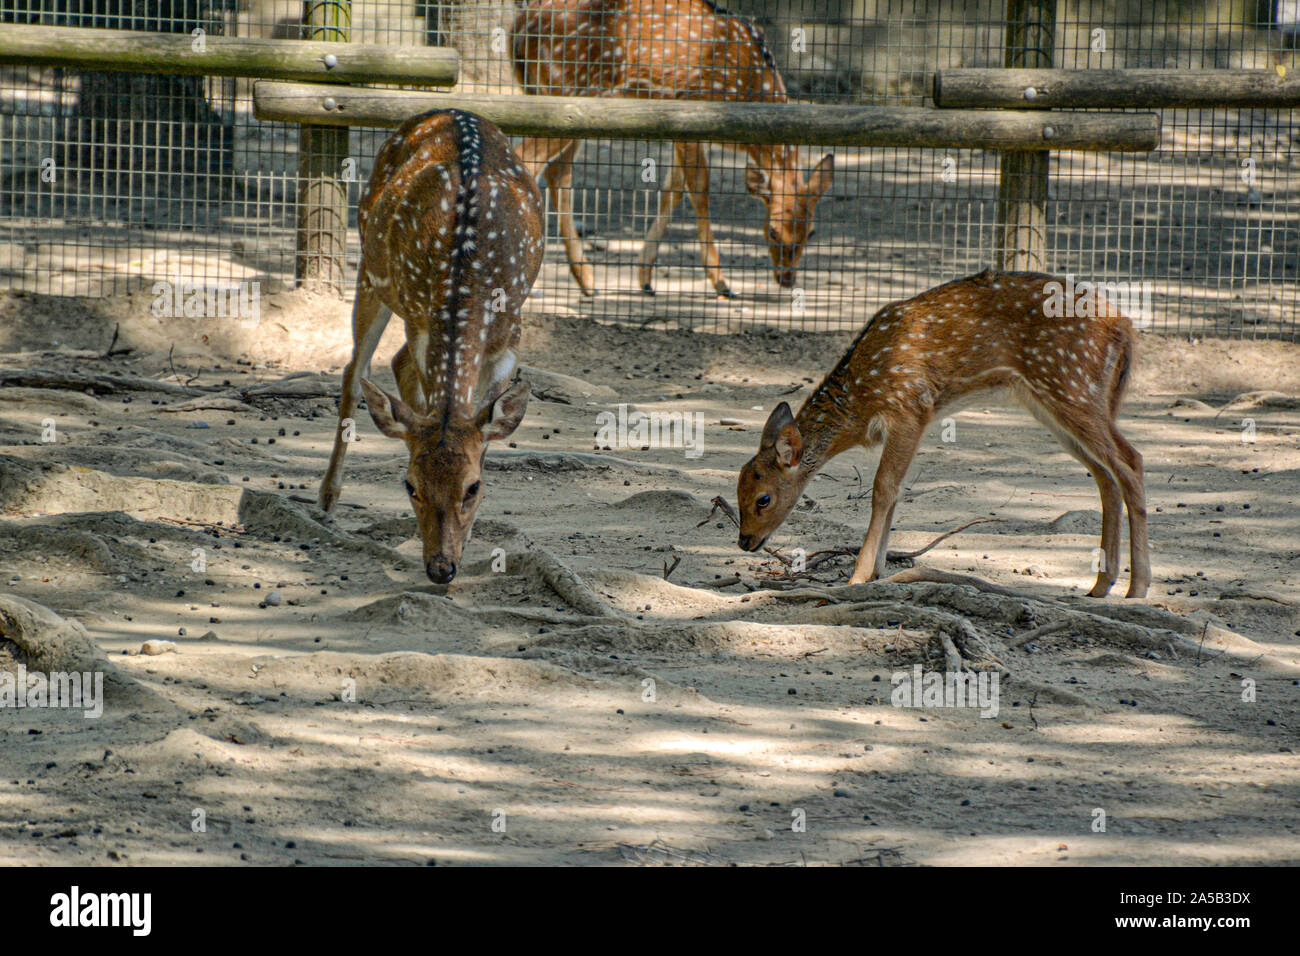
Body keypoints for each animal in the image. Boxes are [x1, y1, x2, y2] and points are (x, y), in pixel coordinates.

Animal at [318, 109, 545, 585]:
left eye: (473, 487)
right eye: (410, 485)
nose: (441, 568)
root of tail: (450, 111)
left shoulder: (509, 339)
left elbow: (482, 425)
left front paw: (471, 532)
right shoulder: (421, 322)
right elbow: (424, 403)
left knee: (391, 363)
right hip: (372, 271)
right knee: (356, 370)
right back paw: (328, 495)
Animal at [511, 0, 834, 298]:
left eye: (811, 231)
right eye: (772, 230)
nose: (787, 279)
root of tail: (519, 26)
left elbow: (673, 189)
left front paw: (645, 277)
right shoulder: (691, 112)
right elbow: (699, 189)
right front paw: (722, 283)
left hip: (565, 108)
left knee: (558, 172)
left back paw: (587, 281)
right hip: (566, 92)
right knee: (527, 160)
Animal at [736, 269, 1151, 599]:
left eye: (763, 499)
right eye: (737, 490)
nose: (744, 541)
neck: (859, 400)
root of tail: (1125, 327)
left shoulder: (909, 407)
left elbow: (883, 488)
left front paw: (858, 576)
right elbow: (896, 491)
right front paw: (879, 570)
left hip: (1071, 384)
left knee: (1130, 460)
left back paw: (1138, 586)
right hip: (1057, 402)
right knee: (1105, 476)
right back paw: (1101, 584)